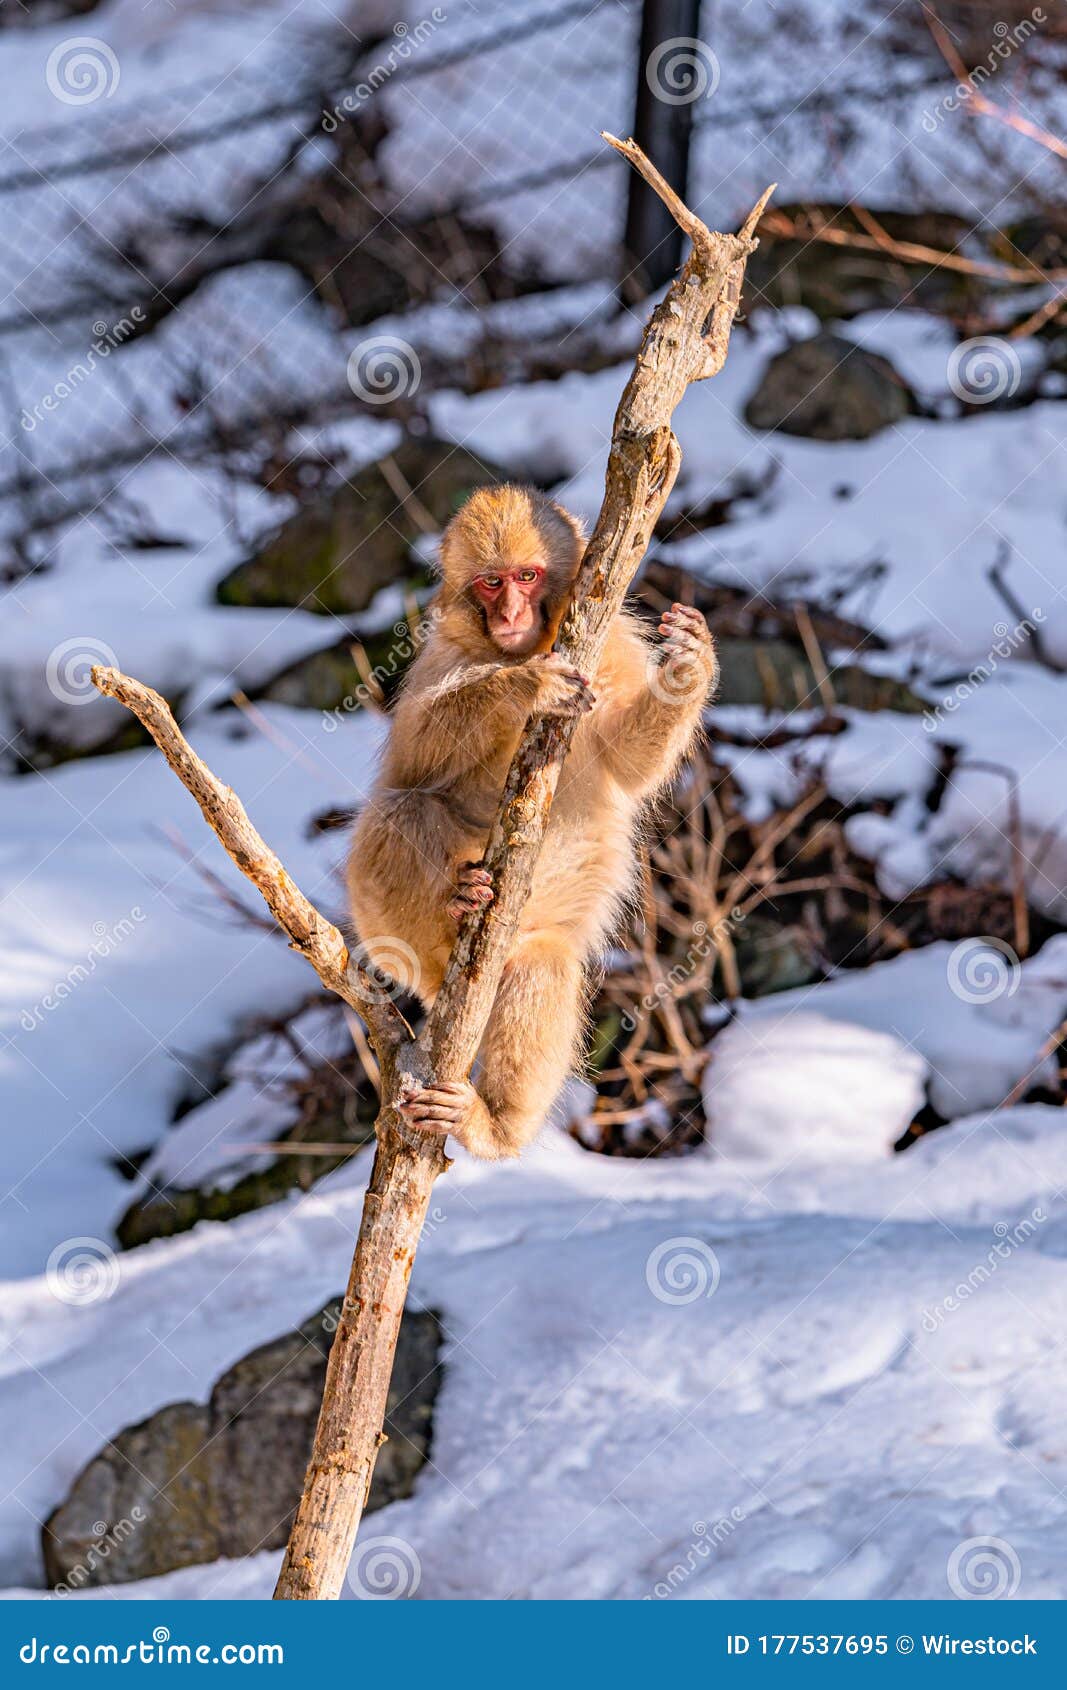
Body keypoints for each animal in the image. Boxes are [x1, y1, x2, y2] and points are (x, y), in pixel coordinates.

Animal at [347, 483, 715, 1160]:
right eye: (491, 583)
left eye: (527, 576)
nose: (511, 611)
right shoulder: (443, 655)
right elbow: (411, 763)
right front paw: (521, 687)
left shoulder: (612, 648)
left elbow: (628, 763)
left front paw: (691, 661)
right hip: (389, 938)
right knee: (397, 809)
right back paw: (460, 900)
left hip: (520, 942)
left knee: (542, 960)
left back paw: (491, 1126)